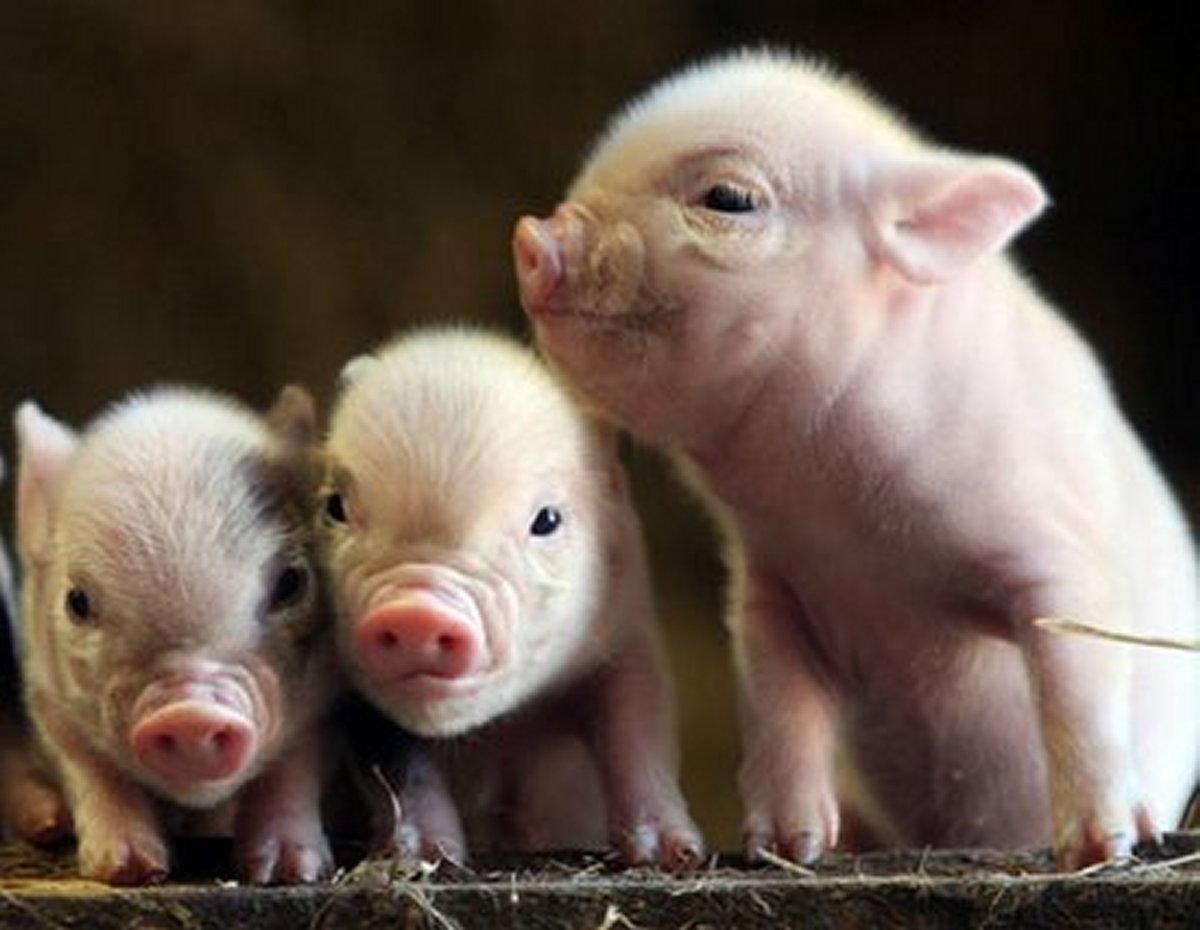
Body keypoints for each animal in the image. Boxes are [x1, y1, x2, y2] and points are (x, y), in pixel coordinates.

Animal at [13, 386, 338, 884]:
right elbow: (93, 769)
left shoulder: (323, 699)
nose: (190, 715)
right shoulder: (48, 701)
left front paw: (287, 872)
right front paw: (126, 870)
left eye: (291, 583)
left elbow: (292, 769)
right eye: (77, 602)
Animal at [319, 327, 702, 868]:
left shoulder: (627, 636)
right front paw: (426, 858)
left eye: (547, 520)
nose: (417, 612)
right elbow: (397, 759)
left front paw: (669, 855)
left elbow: (636, 731)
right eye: (335, 507)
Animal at [513, 50, 1199, 868]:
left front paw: (1103, 846)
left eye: (729, 198)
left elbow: (1077, 686)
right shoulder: (772, 588)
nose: (531, 236)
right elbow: (781, 708)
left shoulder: (1058, 552)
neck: (848, 528)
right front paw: (789, 844)